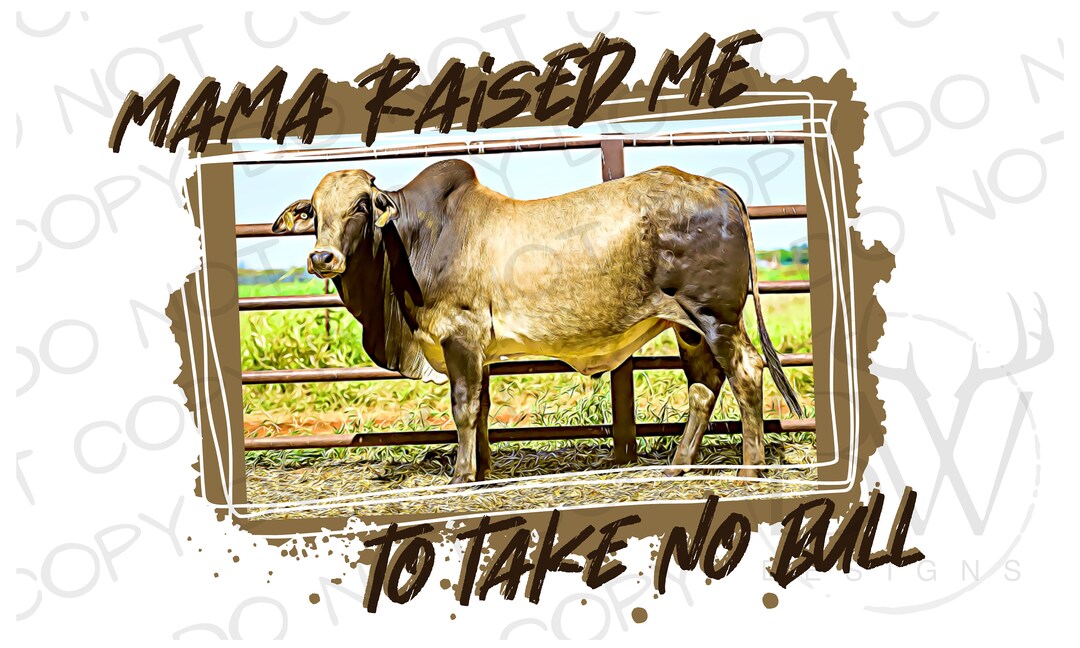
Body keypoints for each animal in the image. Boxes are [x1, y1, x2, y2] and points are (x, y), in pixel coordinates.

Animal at [272, 159, 803, 484]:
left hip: (715, 317)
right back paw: (679, 464)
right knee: (703, 386)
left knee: (745, 372)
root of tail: (719, 188)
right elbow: (483, 408)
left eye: (361, 206)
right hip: (688, 326)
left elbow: (463, 408)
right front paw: (483, 469)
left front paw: (461, 475)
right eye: (314, 211)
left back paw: (750, 469)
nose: (322, 258)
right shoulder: (478, 349)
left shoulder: (459, 336)